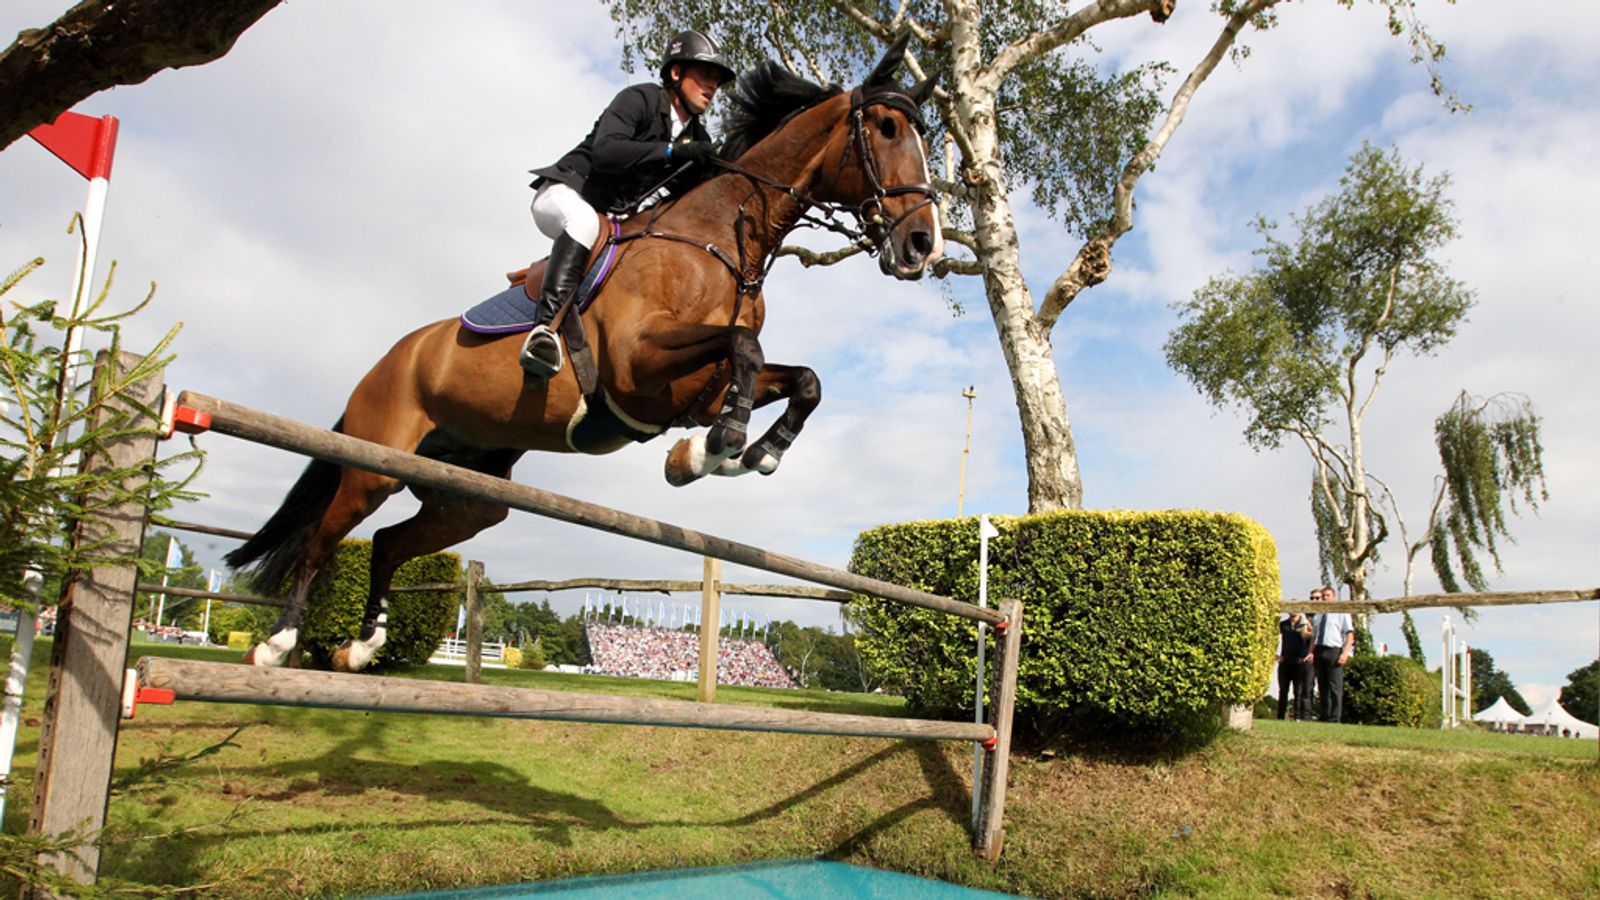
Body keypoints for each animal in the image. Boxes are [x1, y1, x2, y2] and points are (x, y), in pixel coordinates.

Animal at [224, 36, 944, 672]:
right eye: (884, 128)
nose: (922, 245)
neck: (719, 240)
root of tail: (387, 362)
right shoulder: (637, 366)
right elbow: (745, 345)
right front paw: (716, 448)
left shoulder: (698, 386)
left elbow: (804, 379)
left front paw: (743, 453)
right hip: (375, 464)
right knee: (322, 541)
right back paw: (277, 644)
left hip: (467, 495)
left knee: (388, 541)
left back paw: (362, 646)